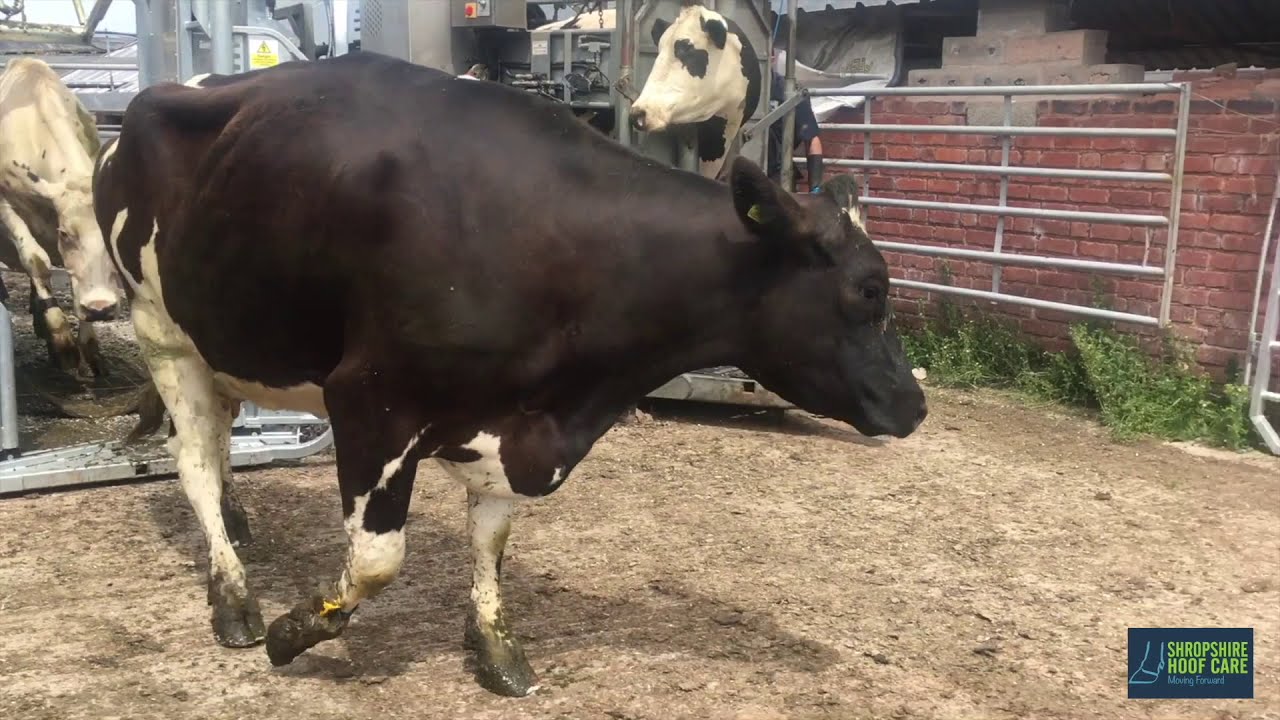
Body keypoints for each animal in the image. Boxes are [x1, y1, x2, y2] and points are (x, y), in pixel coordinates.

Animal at [93, 50, 926, 698]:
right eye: (869, 290)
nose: (914, 404)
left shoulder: (511, 422)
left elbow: (491, 538)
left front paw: (495, 647)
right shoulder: (370, 401)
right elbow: (377, 561)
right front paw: (293, 630)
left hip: (227, 341)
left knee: (218, 446)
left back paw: (238, 528)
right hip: (162, 332)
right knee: (195, 462)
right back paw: (233, 599)